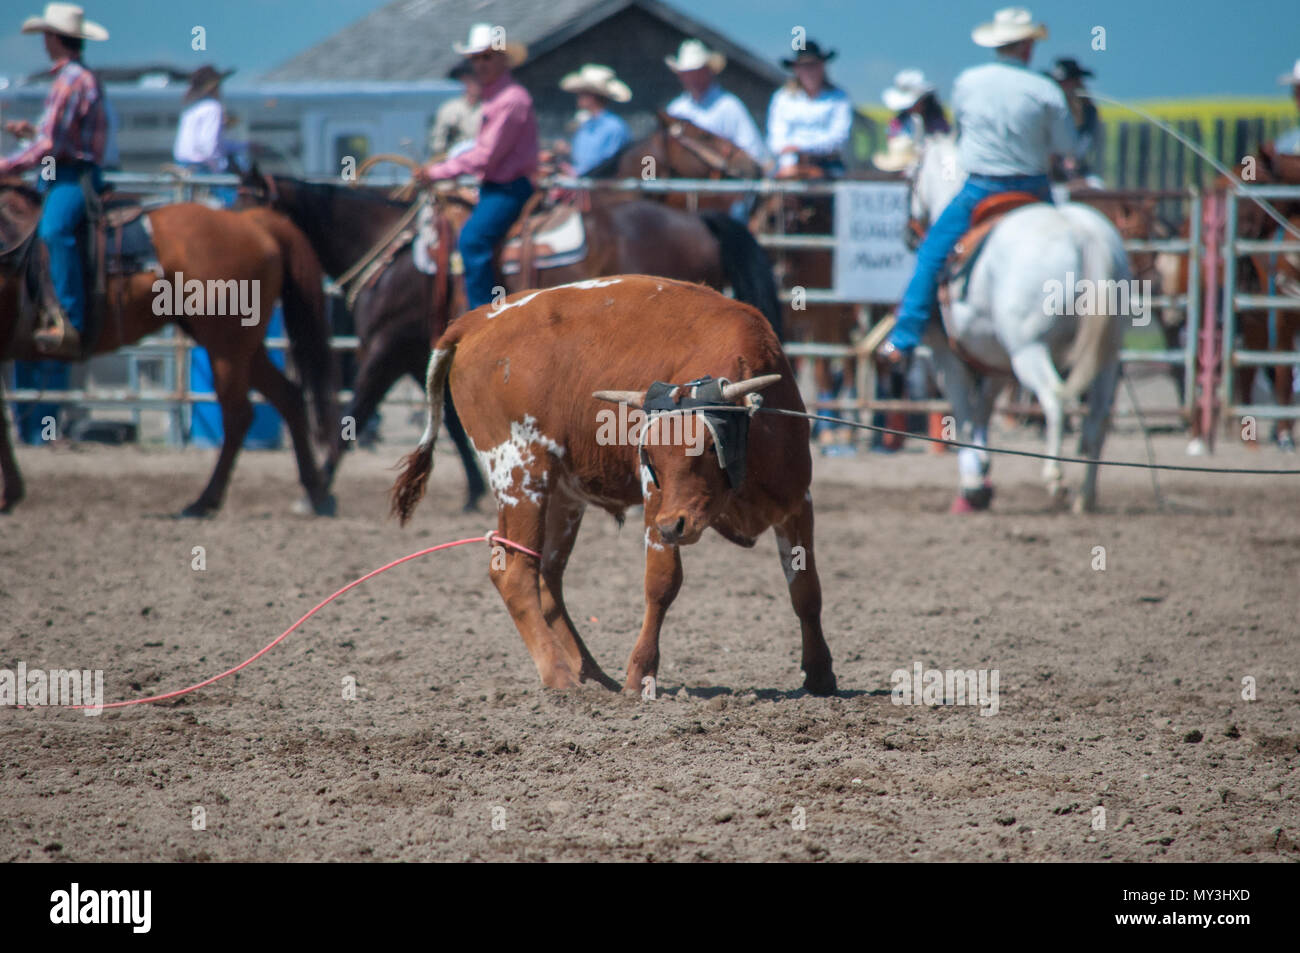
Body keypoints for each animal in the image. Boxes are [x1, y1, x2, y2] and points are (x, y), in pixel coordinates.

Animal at [390, 275, 836, 696]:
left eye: (710, 444)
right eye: (649, 453)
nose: (673, 526)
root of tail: (477, 320)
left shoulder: (799, 502)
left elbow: (807, 591)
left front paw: (820, 674)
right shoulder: (655, 498)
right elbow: (661, 585)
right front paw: (639, 674)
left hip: (562, 494)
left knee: (546, 575)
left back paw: (590, 672)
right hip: (518, 474)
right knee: (515, 574)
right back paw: (559, 674)